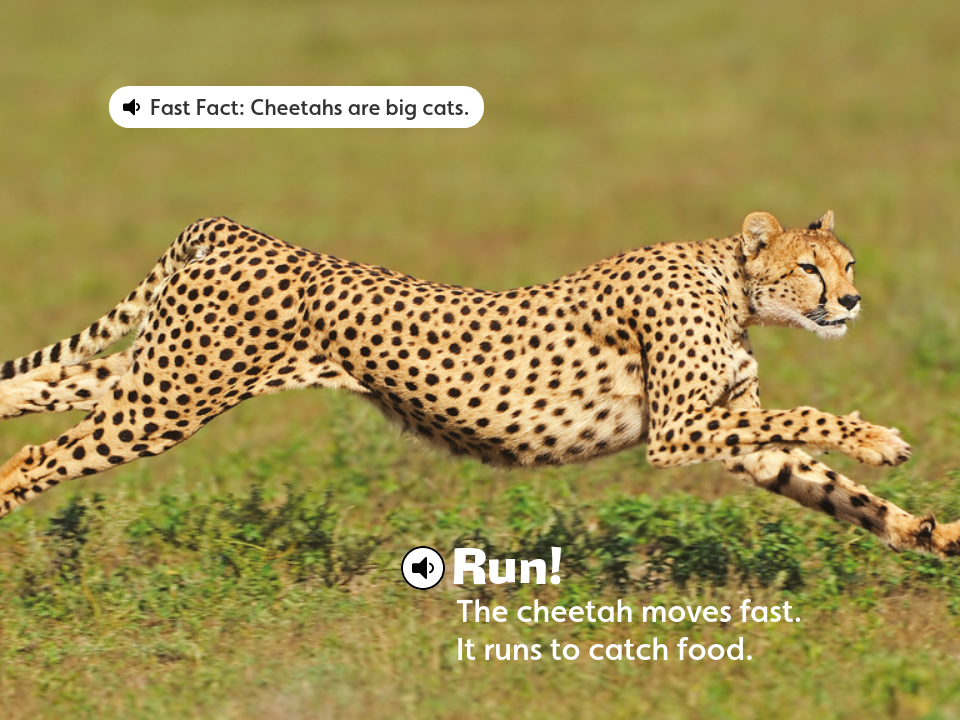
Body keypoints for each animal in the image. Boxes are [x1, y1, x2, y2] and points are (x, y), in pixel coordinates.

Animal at [1, 211, 958, 556]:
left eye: (849, 262)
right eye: (810, 267)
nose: (854, 299)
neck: (732, 282)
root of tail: (238, 230)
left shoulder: (731, 438)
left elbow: (827, 484)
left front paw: (930, 534)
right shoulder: (677, 433)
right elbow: (813, 419)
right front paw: (879, 437)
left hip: (159, 373)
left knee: (52, 383)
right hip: (170, 398)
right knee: (42, 454)